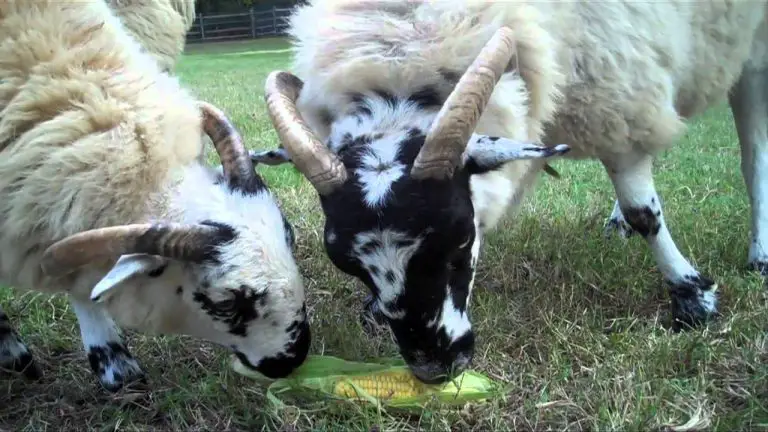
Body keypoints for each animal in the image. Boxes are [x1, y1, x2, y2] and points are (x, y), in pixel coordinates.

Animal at [250, 0, 768, 384]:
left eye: (460, 241)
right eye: (348, 264)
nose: (435, 369)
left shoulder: (620, 98)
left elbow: (645, 210)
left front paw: (692, 298)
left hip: (752, 51)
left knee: (754, 157)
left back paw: (758, 255)